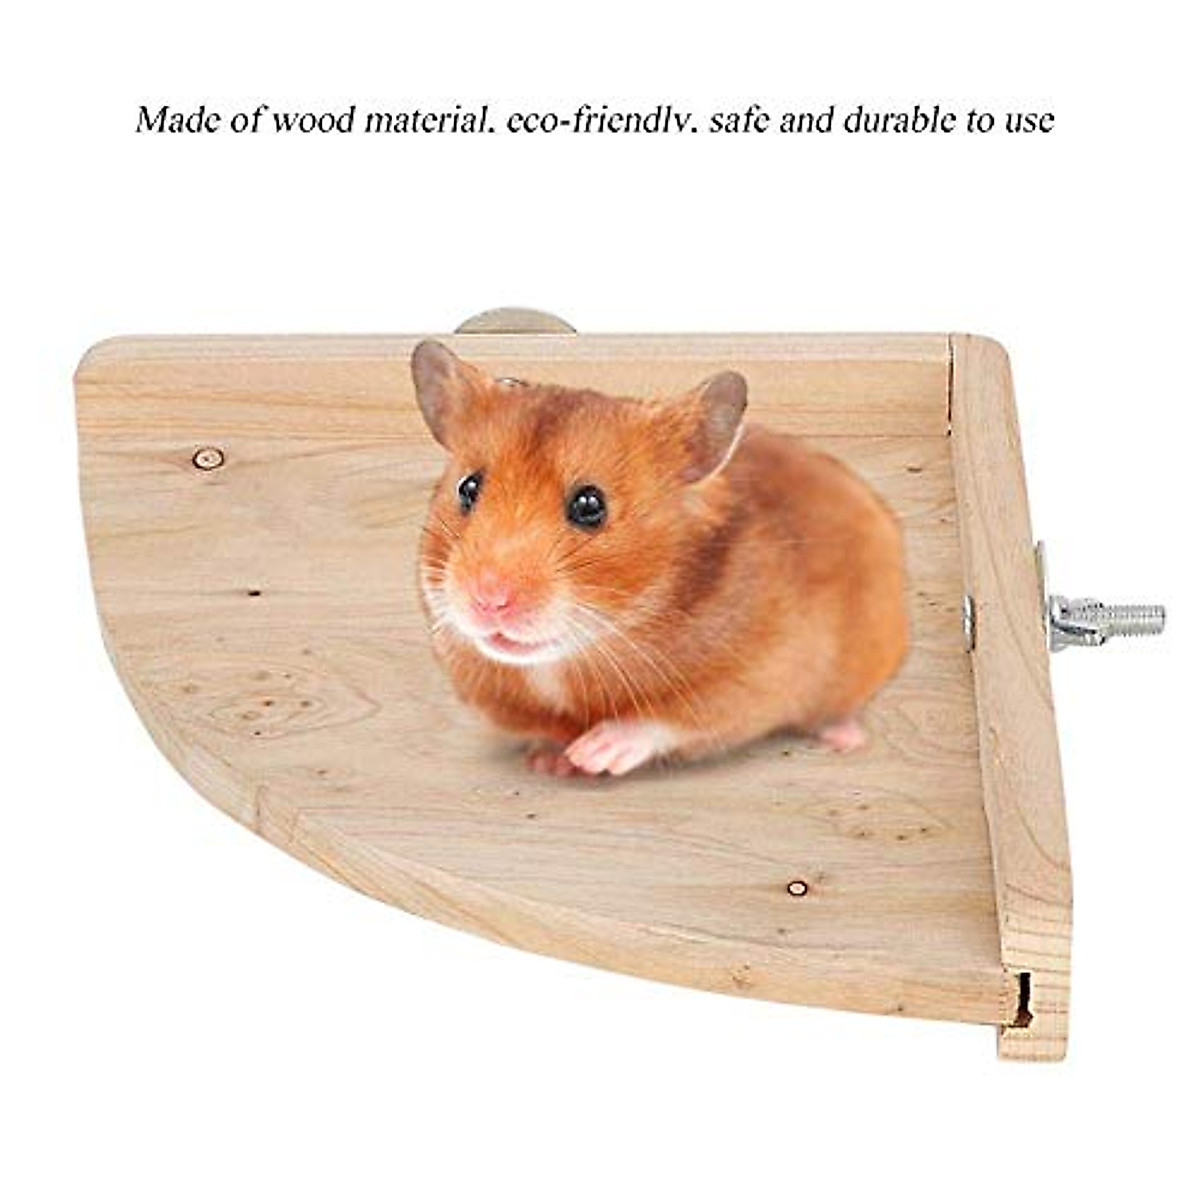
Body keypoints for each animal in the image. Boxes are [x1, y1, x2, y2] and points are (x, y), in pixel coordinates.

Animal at [412, 340, 908, 777]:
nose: (488, 600)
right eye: (468, 488)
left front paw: (595, 754)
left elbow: (671, 718)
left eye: (590, 505)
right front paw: (552, 761)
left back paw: (845, 739)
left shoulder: (757, 676)